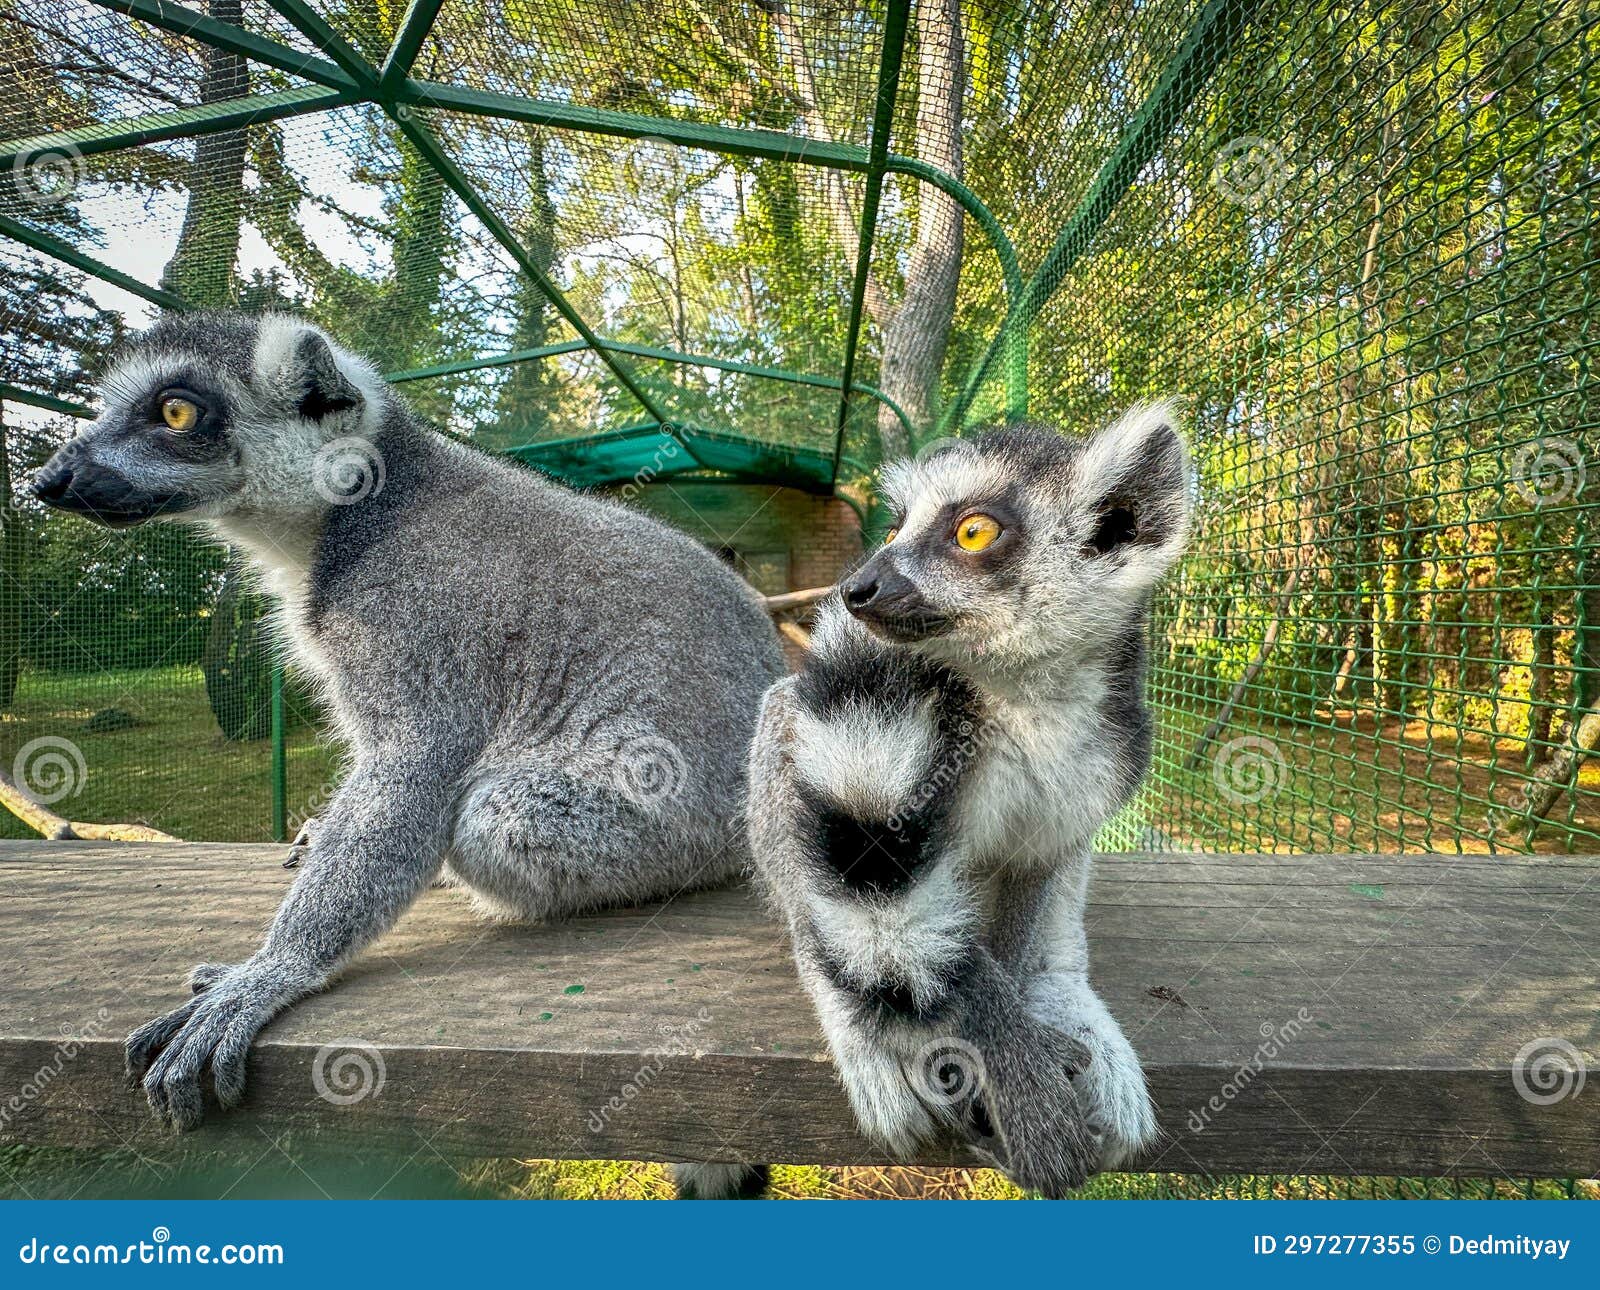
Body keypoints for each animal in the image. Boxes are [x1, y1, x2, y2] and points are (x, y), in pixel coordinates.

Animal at [32, 312, 783, 1199]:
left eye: (175, 413)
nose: (50, 478)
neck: (358, 513)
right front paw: (317, 835)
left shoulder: (418, 621)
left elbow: (415, 774)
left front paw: (276, 970)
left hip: (670, 834)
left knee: (491, 816)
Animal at [744, 404, 1192, 1196]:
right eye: (897, 524)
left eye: (973, 531)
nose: (857, 588)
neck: (1029, 702)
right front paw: (1004, 1051)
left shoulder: (1105, 756)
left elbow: (1040, 866)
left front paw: (1023, 1009)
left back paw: (1060, 991)